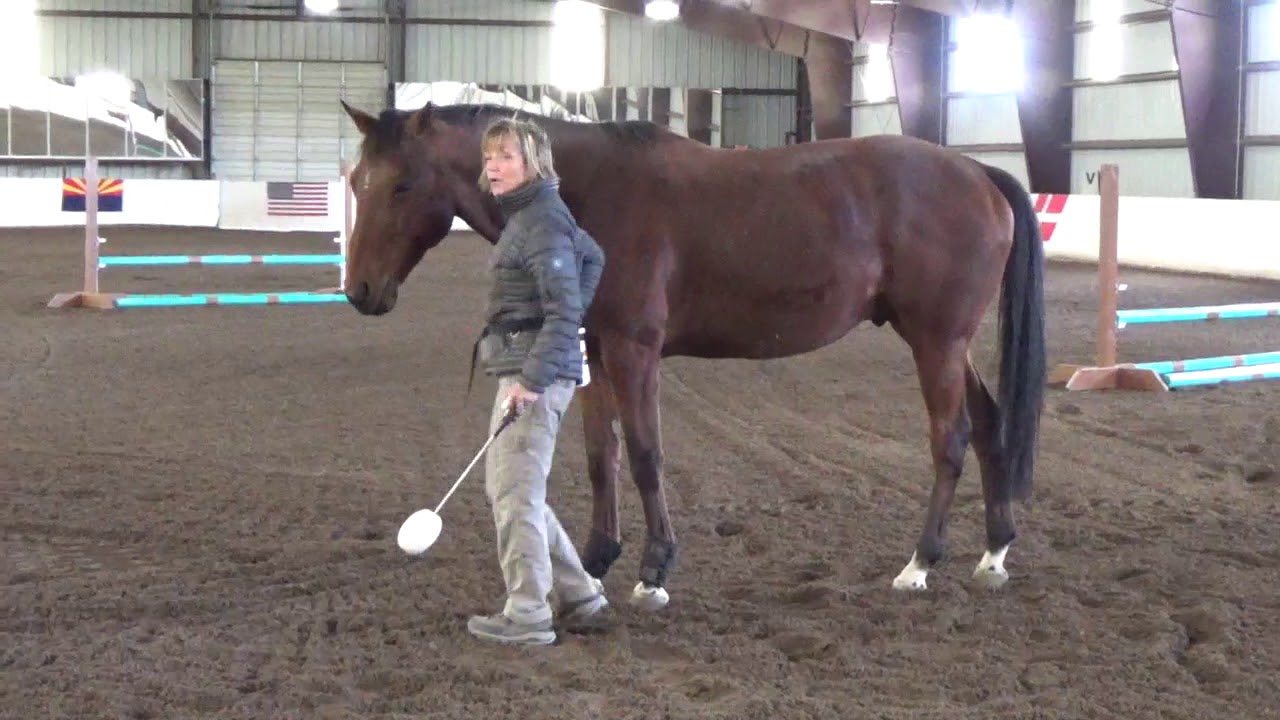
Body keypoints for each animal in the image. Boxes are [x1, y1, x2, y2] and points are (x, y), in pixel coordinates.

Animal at [338, 99, 1046, 611]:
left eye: (402, 184)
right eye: (355, 180)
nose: (360, 291)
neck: (588, 191)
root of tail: (978, 172)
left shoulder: (635, 351)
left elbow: (645, 455)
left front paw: (654, 569)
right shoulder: (594, 350)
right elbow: (601, 456)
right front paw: (595, 560)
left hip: (936, 341)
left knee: (951, 438)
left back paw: (920, 564)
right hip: (947, 344)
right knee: (989, 426)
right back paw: (993, 554)